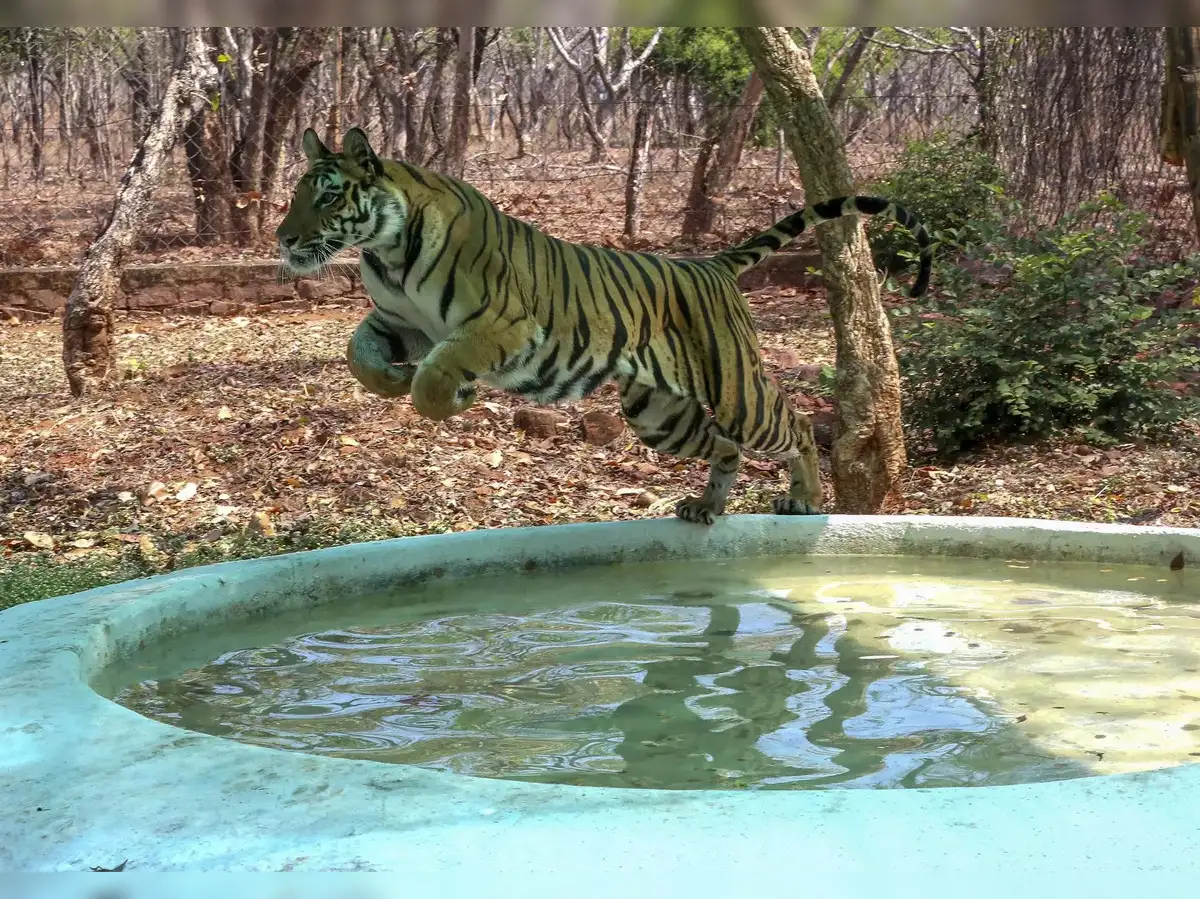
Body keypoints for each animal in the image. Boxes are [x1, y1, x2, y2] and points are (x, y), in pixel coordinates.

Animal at [276, 126, 932, 525]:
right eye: (297, 195)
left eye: (329, 196)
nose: (282, 239)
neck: (386, 249)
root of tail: (710, 264)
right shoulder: (399, 322)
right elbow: (358, 354)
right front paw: (388, 380)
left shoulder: (503, 325)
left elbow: (434, 381)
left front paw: (451, 398)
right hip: (658, 414)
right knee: (723, 447)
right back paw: (706, 507)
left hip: (736, 392)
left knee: (793, 425)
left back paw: (807, 501)